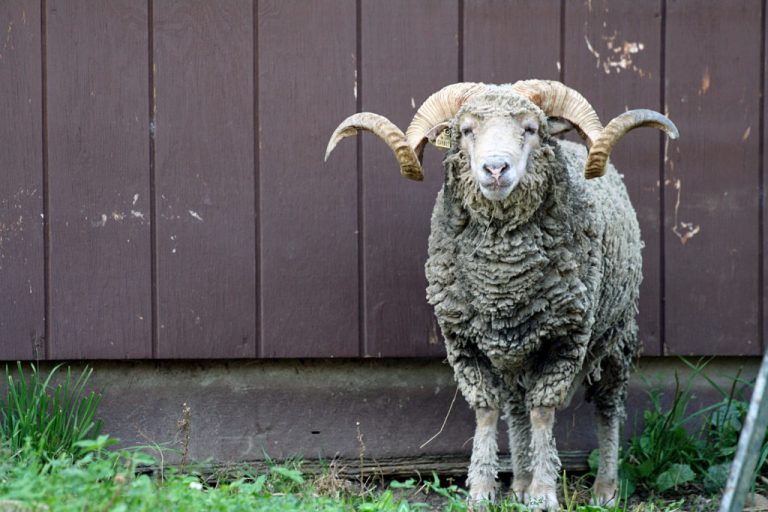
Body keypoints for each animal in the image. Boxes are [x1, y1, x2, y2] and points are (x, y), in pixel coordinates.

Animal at [325, 80, 678, 511]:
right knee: (515, 408)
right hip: (514, 351)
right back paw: (520, 482)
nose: (495, 169)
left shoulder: (566, 341)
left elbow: (543, 410)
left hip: (616, 335)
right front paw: (482, 490)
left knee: (608, 406)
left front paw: (544, 493)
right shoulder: (464, 342)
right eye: (465, 130)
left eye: (530, 128)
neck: (502, 278)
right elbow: (487, 410)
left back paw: (604, 489)